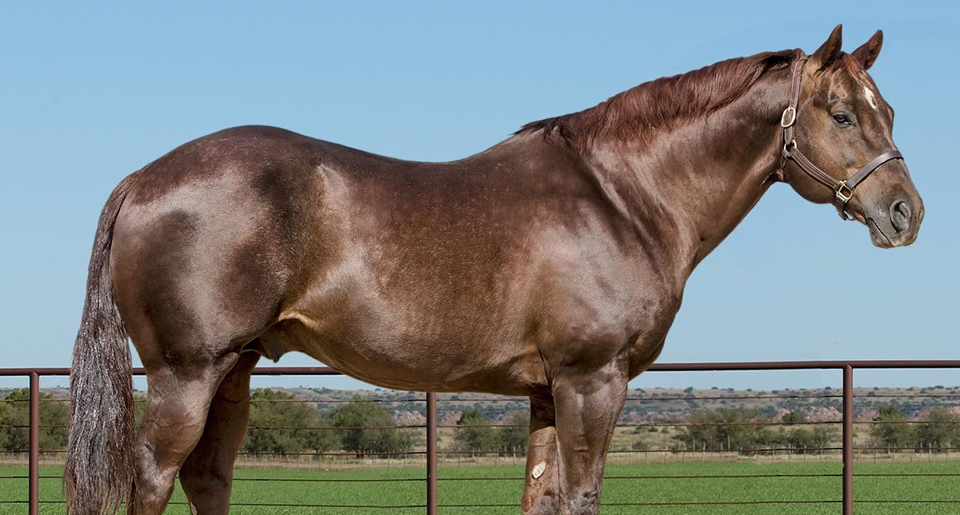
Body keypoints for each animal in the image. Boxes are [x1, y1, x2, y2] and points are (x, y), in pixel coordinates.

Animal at [65, 25, 922, 514]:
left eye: (888, 111)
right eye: (842, 113)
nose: (906, 213)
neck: (622, 195)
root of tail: (141, 179)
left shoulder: (546, 389)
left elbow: (541, 496)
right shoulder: (591, 379)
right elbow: (581, 496)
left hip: (235, 368)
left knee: (208, 478)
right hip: (186, 373)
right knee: (153, 478)